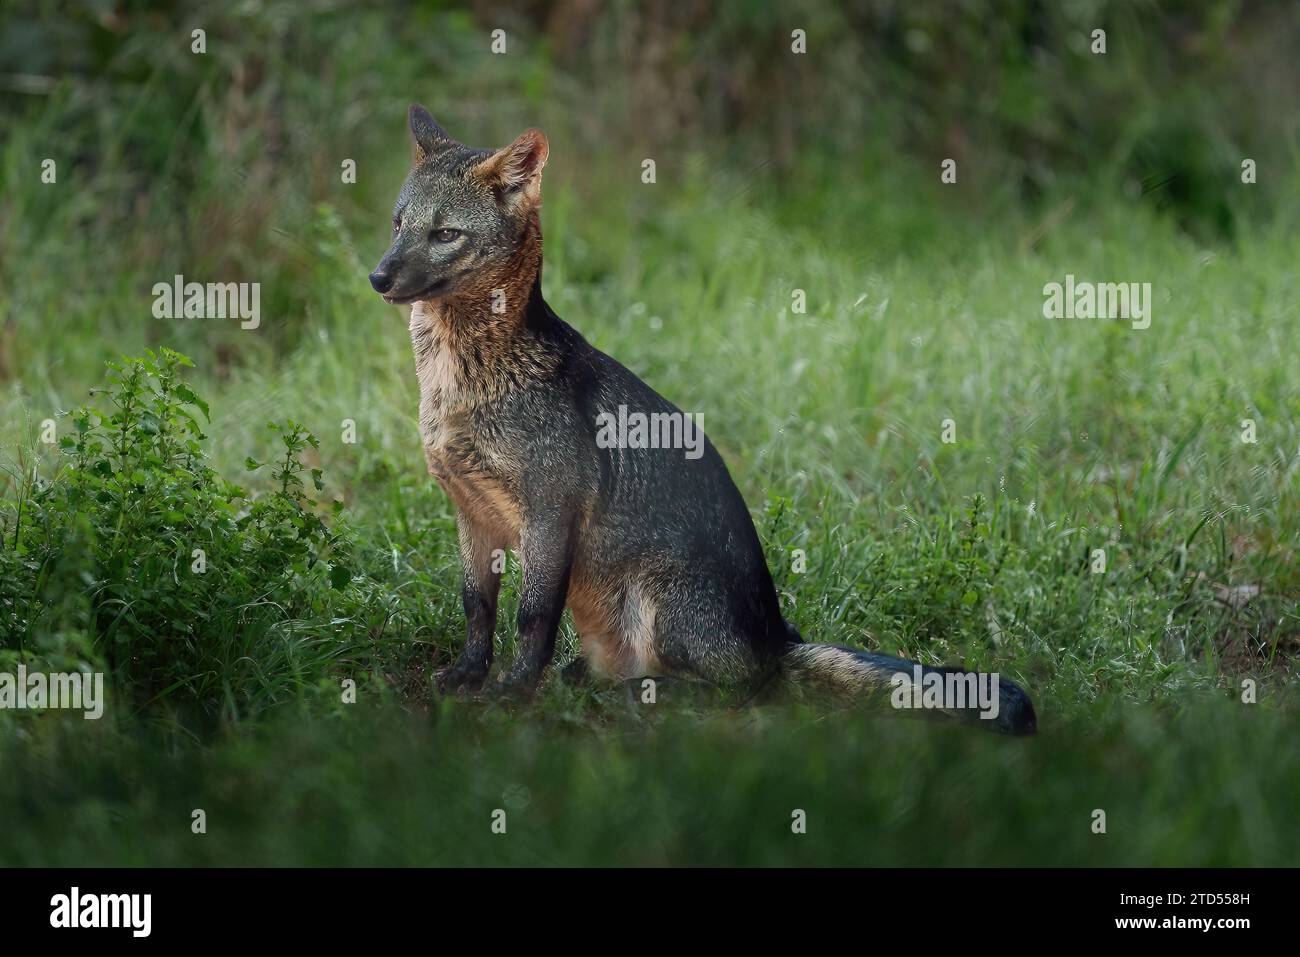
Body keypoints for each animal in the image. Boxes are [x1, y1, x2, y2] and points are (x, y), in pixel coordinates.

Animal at [369, 105, 1037, 735]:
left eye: (446, 233)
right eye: (399, 225)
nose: (378, 277)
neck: (460, 386)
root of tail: (777, 635)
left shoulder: (549, 514)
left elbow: (532, 618)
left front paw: (512, 693)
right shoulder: (471, 511)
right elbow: (476, 608)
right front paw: (468, 676)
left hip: (657, 602)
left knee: (740, 688)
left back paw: (646, 692)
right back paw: (591, 678)